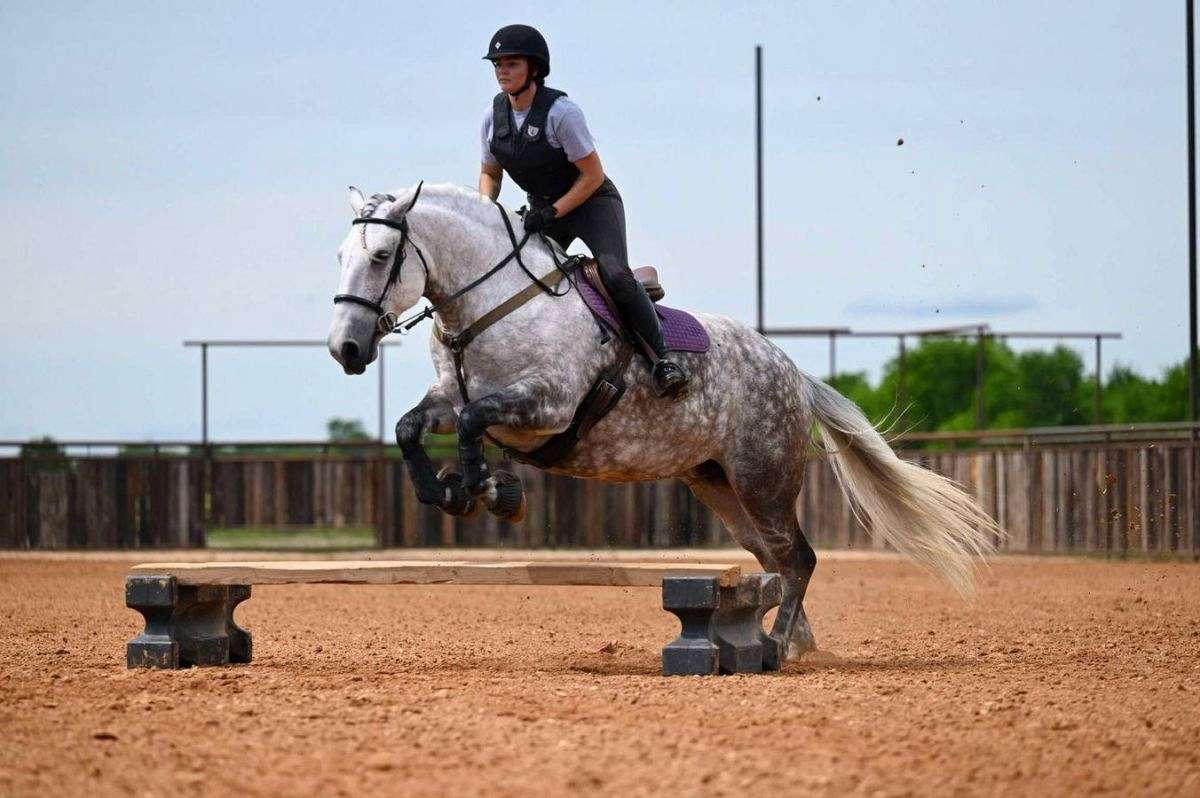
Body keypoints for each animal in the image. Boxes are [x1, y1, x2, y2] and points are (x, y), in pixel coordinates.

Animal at [327, 182, 1001, 660]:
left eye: (382, 256)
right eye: (339, 256)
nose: (345, 349)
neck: (492, 308)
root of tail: (793, 372)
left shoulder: (547, 404)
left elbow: (472, 420)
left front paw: (488, 491)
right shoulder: (451, 397)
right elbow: (413, 426)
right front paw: (452, 490)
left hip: (762, 479)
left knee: (799, 559)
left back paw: (783, 647)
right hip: (719, 486)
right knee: (775, 560)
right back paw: (791, 643)